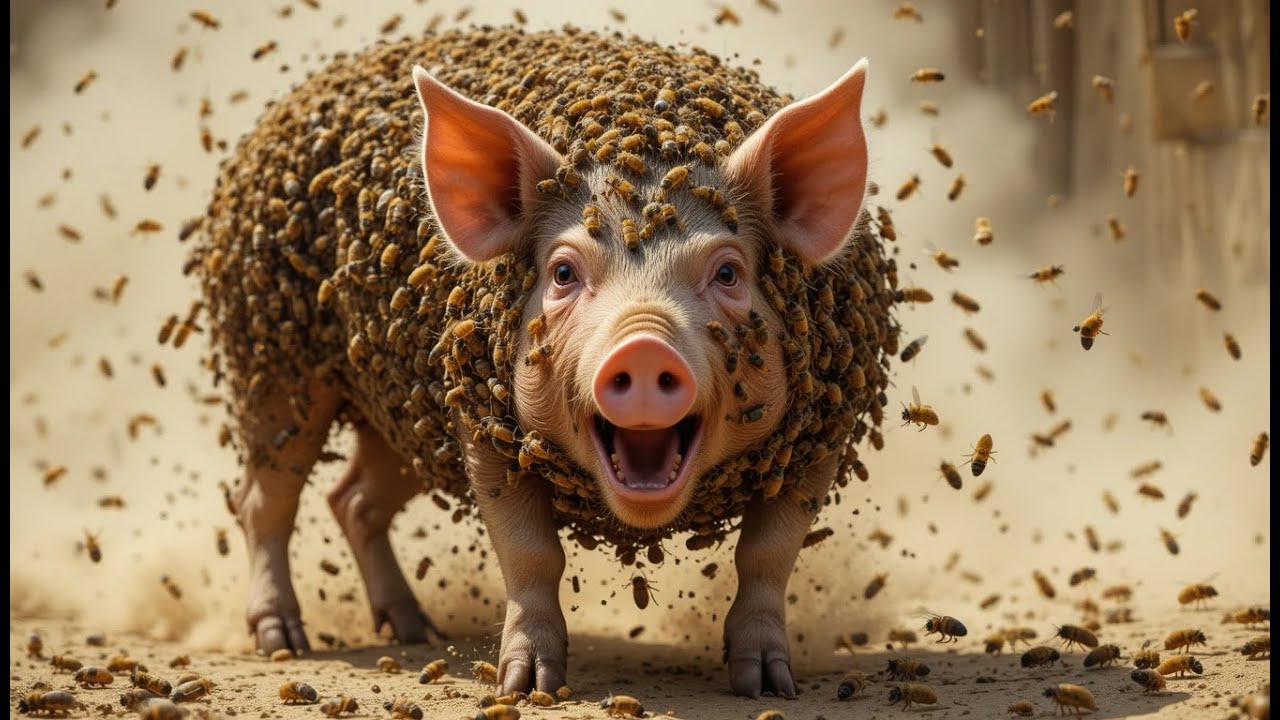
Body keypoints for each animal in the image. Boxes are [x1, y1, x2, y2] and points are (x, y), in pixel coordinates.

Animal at [190, 27, 896, 699]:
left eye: (727, 272)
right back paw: (284, 643)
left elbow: (768, 555)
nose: (644, 346)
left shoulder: (822, 436)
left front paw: (769, 685)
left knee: (353, 498)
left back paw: (417, 631)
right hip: (272, 361)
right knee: (263, 499)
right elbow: (531, 554)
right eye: (562, 272)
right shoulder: (480, 421)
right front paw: (527, 687)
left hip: (400, 407)